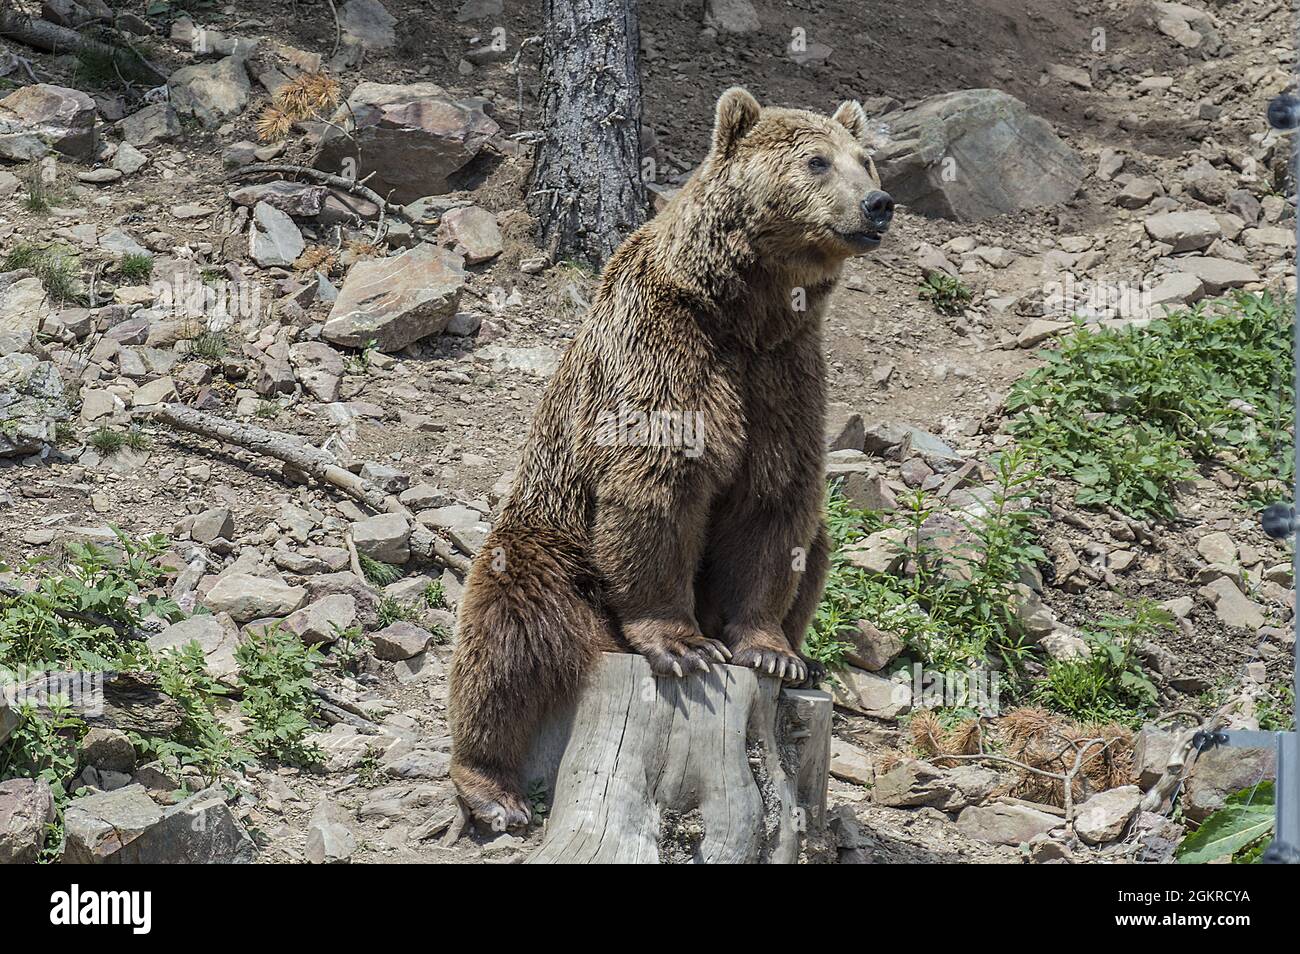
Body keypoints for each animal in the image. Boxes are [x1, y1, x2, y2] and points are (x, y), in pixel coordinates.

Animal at [449, 87, 895, 830]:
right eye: (817, 160)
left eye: (866, 160)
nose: (878, 204)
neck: (745, 311)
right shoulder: (666, 350)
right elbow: (659, 483)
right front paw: (686, 646)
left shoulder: (785, 376)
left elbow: (777, 507)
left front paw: (770, 653)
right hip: (552, 543)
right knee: (508, 636)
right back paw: (491, 788)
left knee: (819, 545)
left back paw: (805, 660)